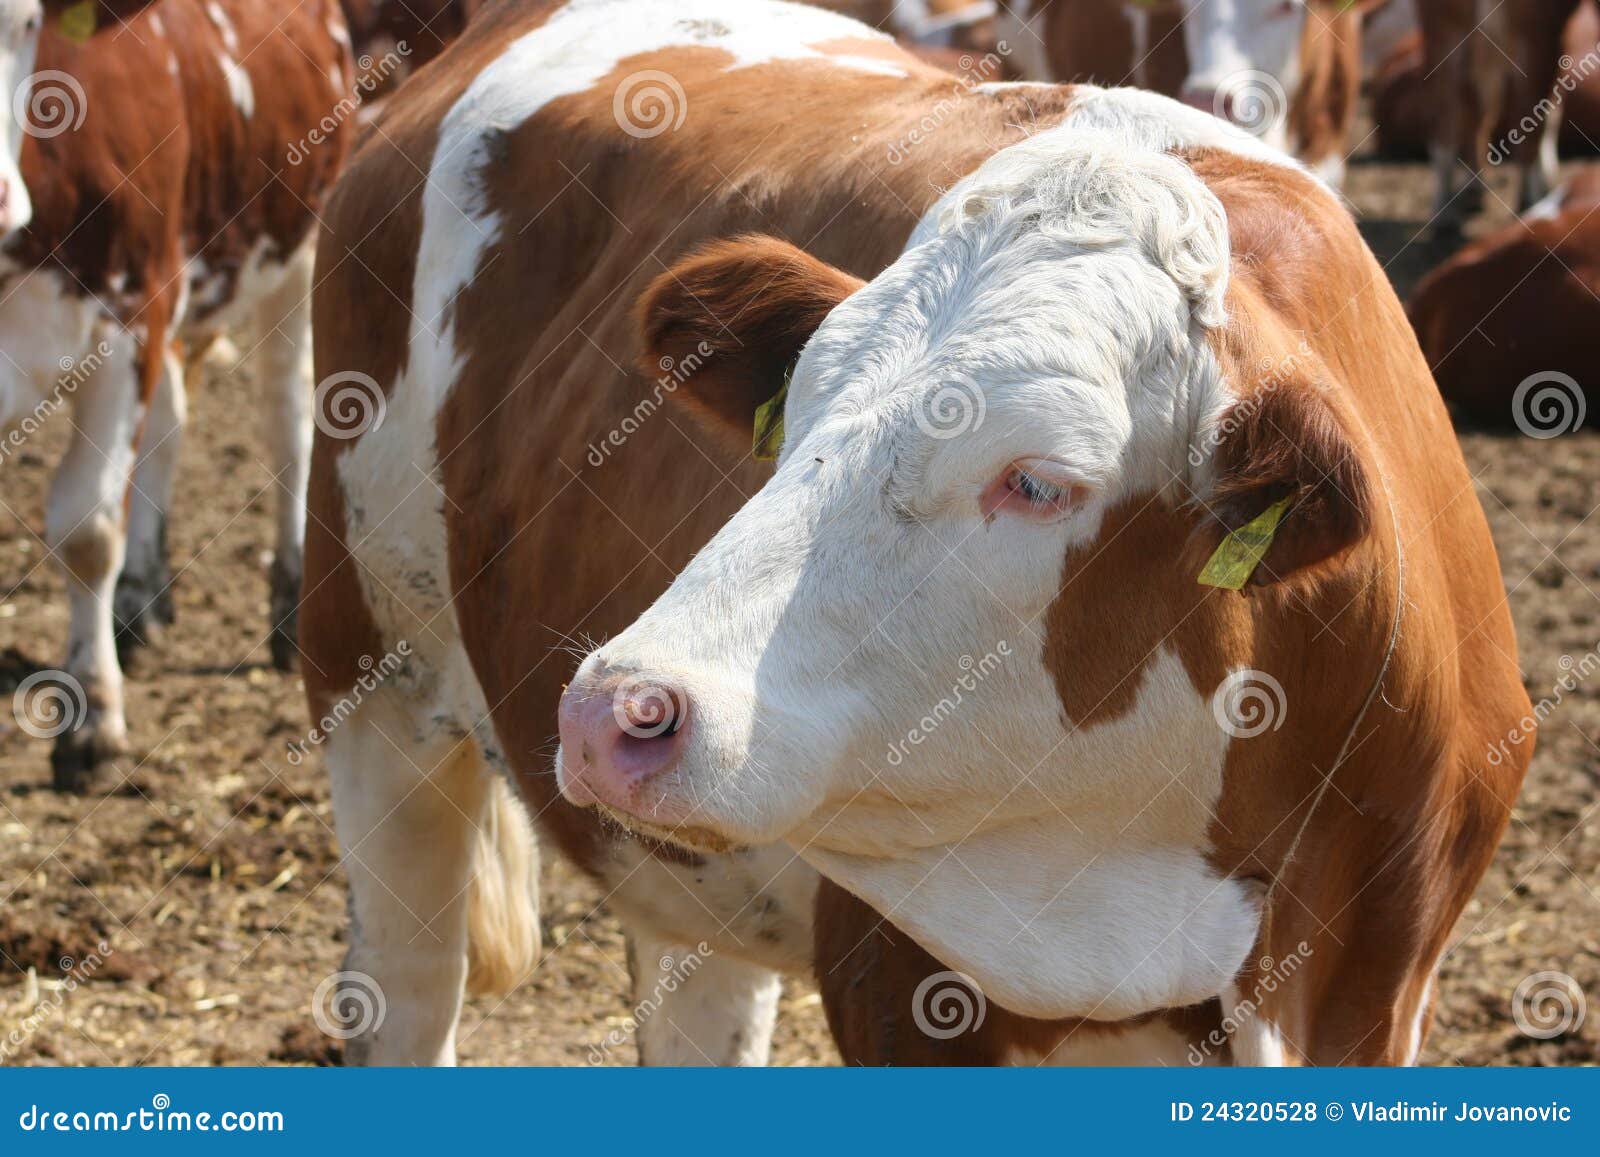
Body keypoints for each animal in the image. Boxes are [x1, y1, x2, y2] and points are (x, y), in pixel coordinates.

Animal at [0, 0, 354, 791]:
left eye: (27, 21)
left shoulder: (132, 311)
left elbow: (86, 531)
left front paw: (93, 722)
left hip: (297, 243)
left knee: (288, 416)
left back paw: (288, 602)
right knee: (169, 427)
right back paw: (141, 597)